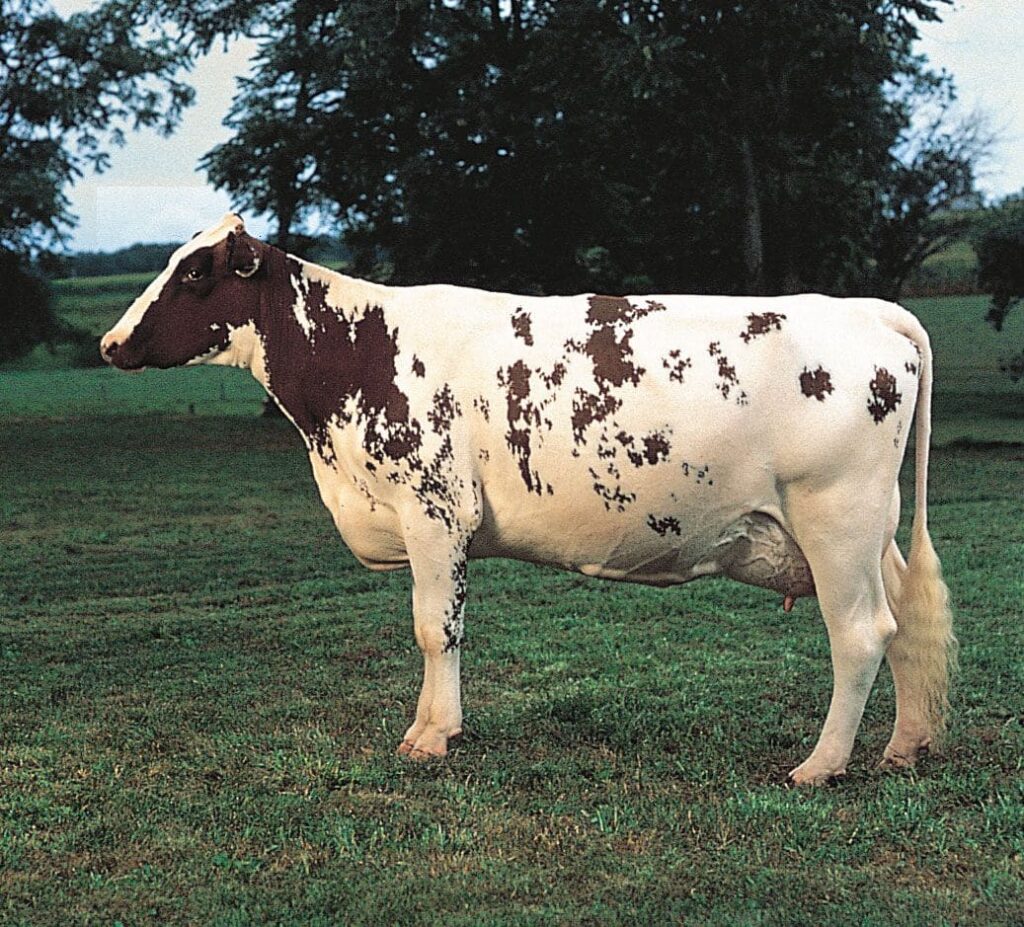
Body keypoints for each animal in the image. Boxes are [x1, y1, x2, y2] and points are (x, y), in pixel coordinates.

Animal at [100, 214, 955, 785]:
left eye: (194, 274)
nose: (111, 344)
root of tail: (862, 308)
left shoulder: (434, 510)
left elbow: (436, 629)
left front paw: (432, 734)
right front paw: (432, 726)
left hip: (834, 517)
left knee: (860, 634)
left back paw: (821, 764)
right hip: (870, 530)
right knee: (906, 618)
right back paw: (904, 745)